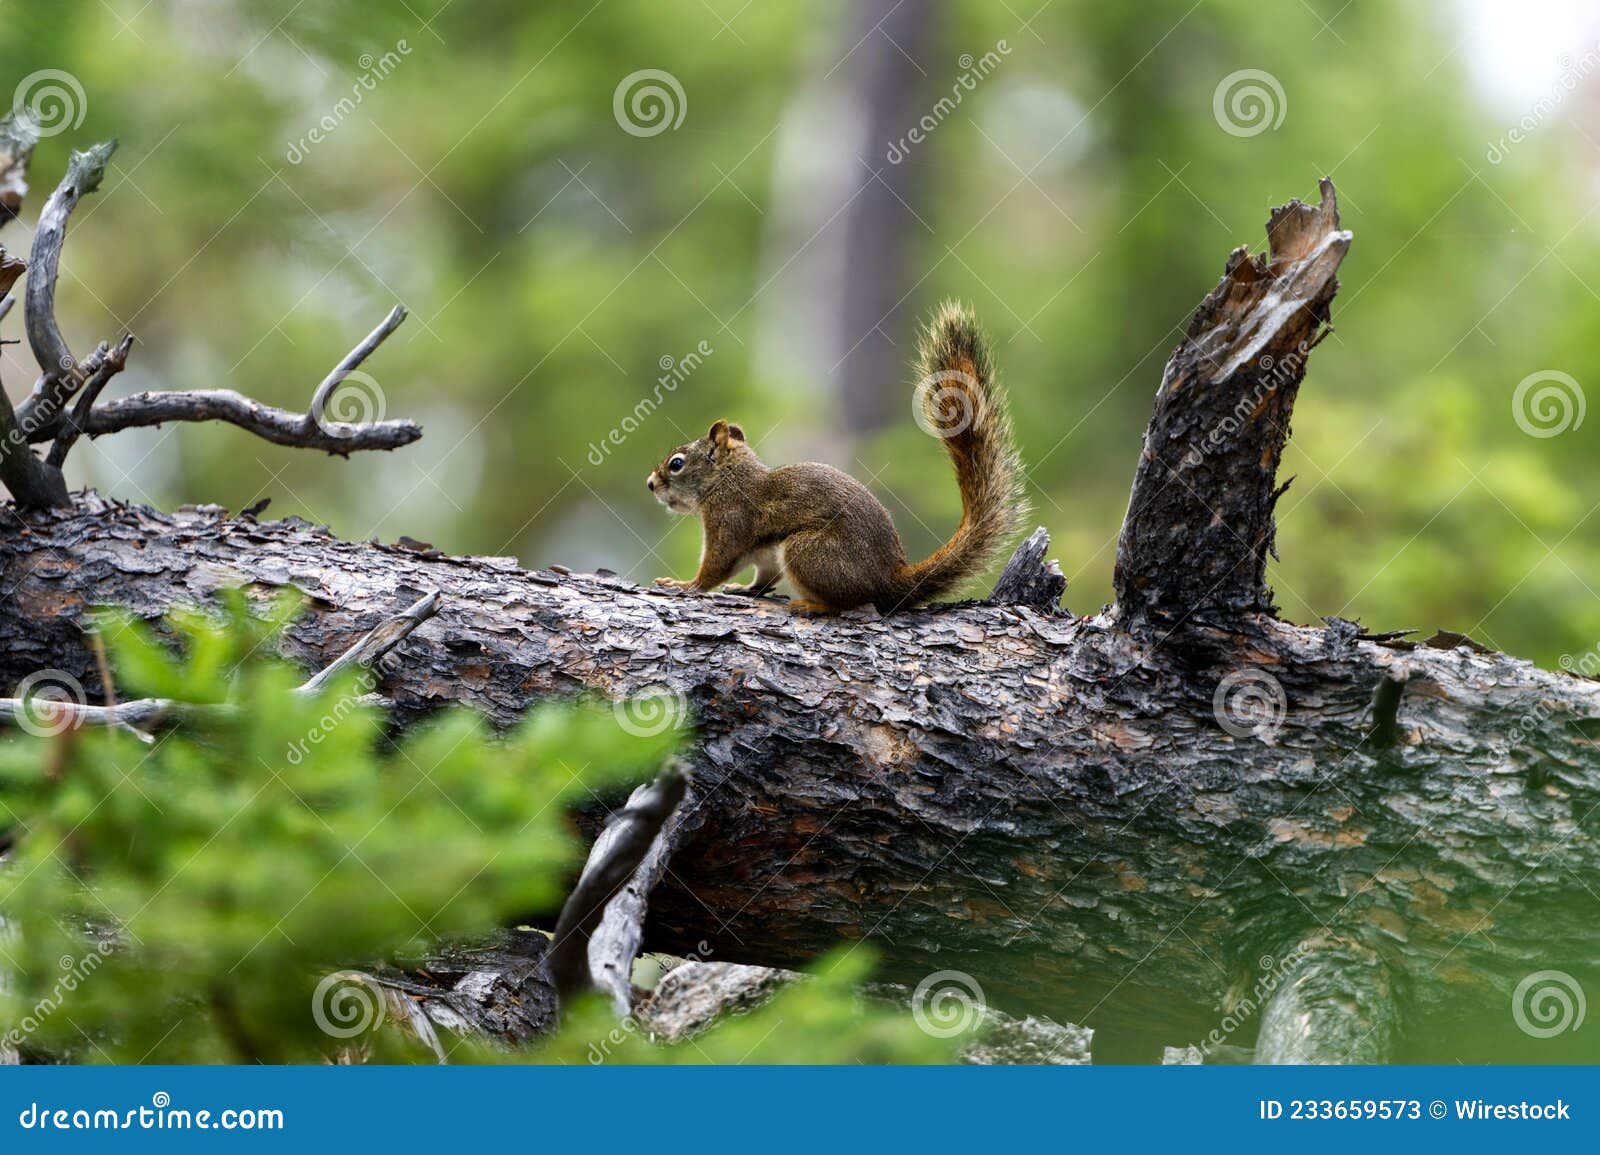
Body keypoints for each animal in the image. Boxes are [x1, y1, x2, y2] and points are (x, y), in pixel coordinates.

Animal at [646, 301, 1028, 613]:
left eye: (676, 464)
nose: (650, 484)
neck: (728, 479)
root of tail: (888, 579)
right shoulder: (765, 556)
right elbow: (764, 577)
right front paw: (745, 589)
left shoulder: (730, 519)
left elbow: (715, 566)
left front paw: (684, 585)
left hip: (806, 551)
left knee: (850, 602)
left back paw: (812, 606)